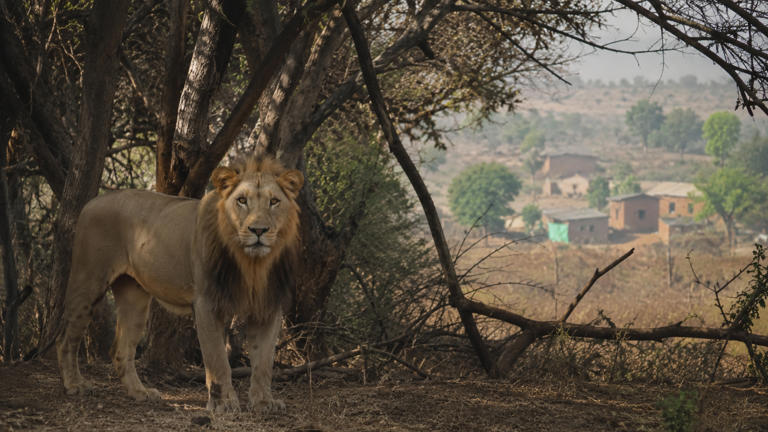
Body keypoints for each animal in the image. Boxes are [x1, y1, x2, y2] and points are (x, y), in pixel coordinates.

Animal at [56, 155, 303, 413]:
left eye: (274, 202)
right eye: (242, 201)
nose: (258, 230)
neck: (253, 265)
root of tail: (92, 201)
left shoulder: (268, 306)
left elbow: (264, 362)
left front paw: (264, 402)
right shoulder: (206, 303)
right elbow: (217, 359)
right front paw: (224, 403)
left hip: (134, 297)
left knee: (120, 350)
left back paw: (140, 393)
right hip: (88, 282)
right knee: (65, 339)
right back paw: (75, 385)